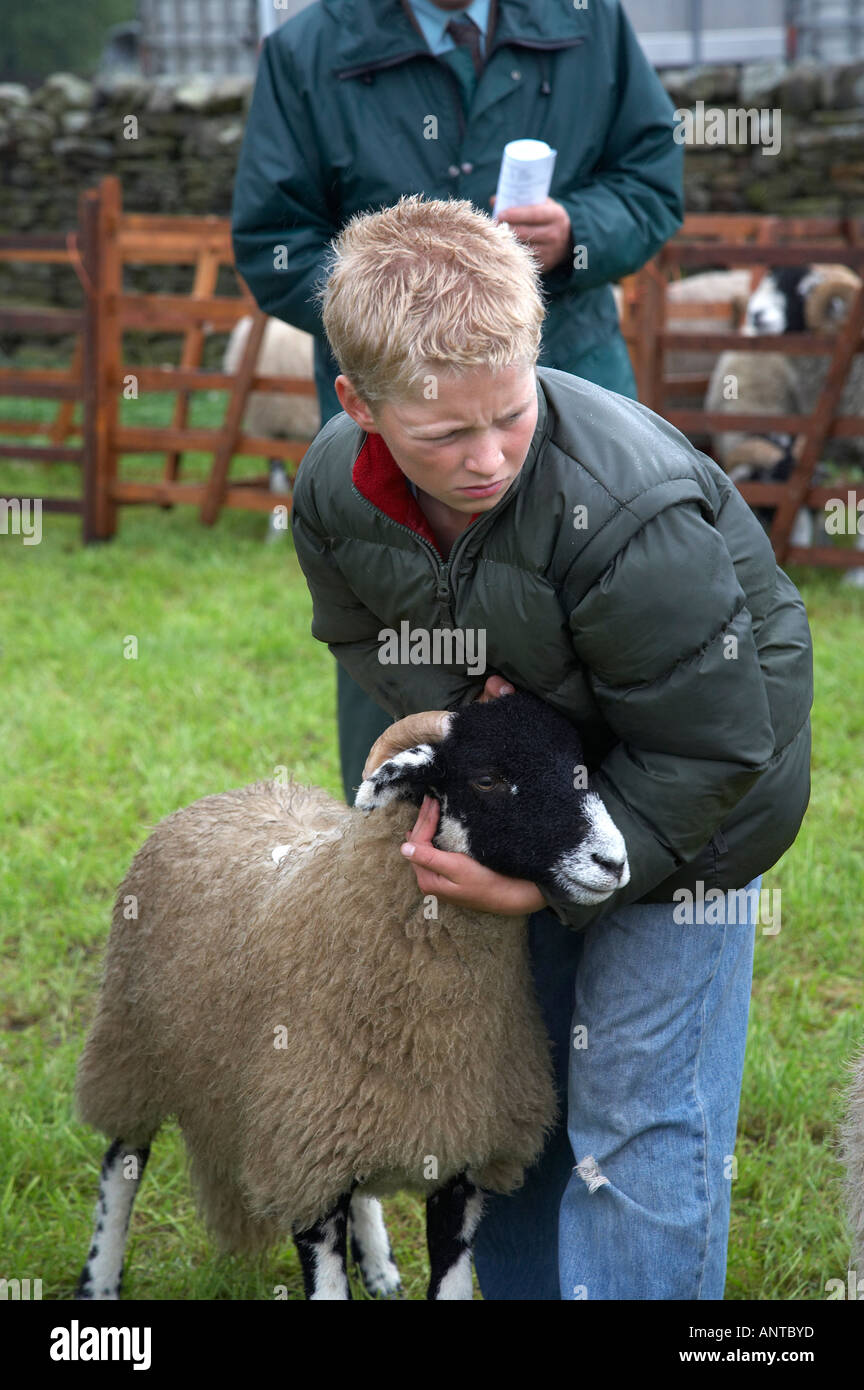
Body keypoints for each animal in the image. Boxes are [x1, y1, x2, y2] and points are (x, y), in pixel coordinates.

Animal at [74, 690, 629, 1301]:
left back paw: (381, 1267)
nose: (613, 862)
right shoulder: (299, 1164)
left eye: (581, 766)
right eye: (487, 778)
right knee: (122, 1161)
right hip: (131, 1044)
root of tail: (235, 793)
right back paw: (99, 1281)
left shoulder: (458, 1160)